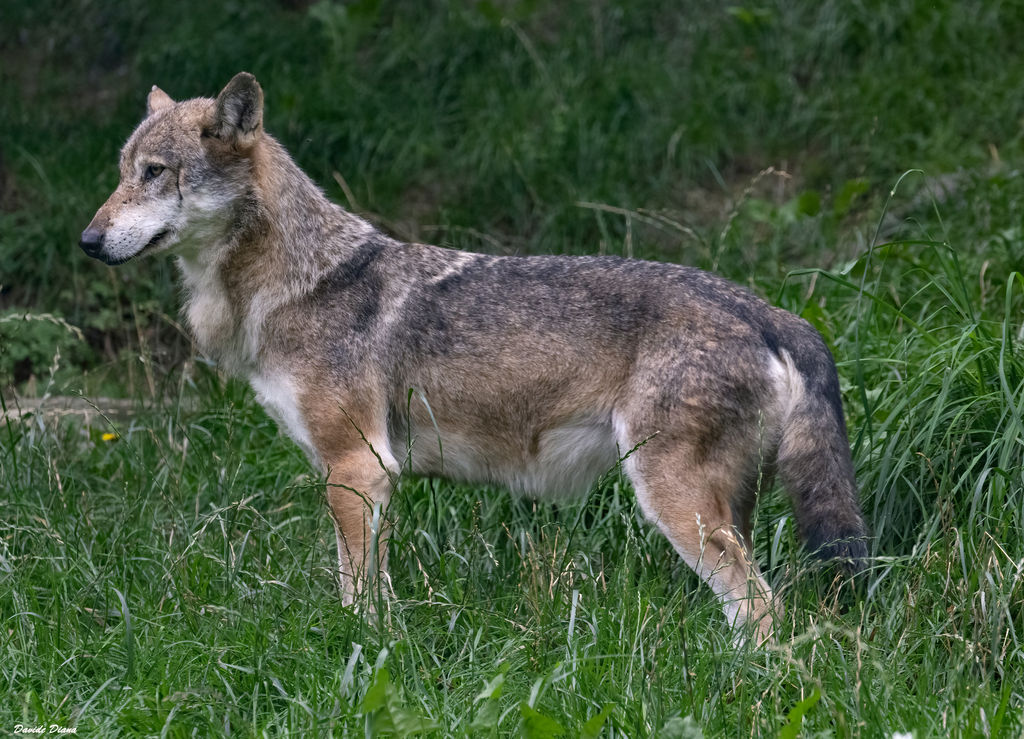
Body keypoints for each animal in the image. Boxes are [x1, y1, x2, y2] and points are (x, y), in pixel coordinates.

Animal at [80, 72, 867, 642]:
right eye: (120, 172)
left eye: (155, 173)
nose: (87, 240)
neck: (297, 283)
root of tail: (772, 312)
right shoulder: (368, 477)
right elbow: (370, 588)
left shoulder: (357, 468)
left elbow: (356, 595)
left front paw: (359, 653)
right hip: (723, 508)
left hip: (675, 502)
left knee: (763, 611)